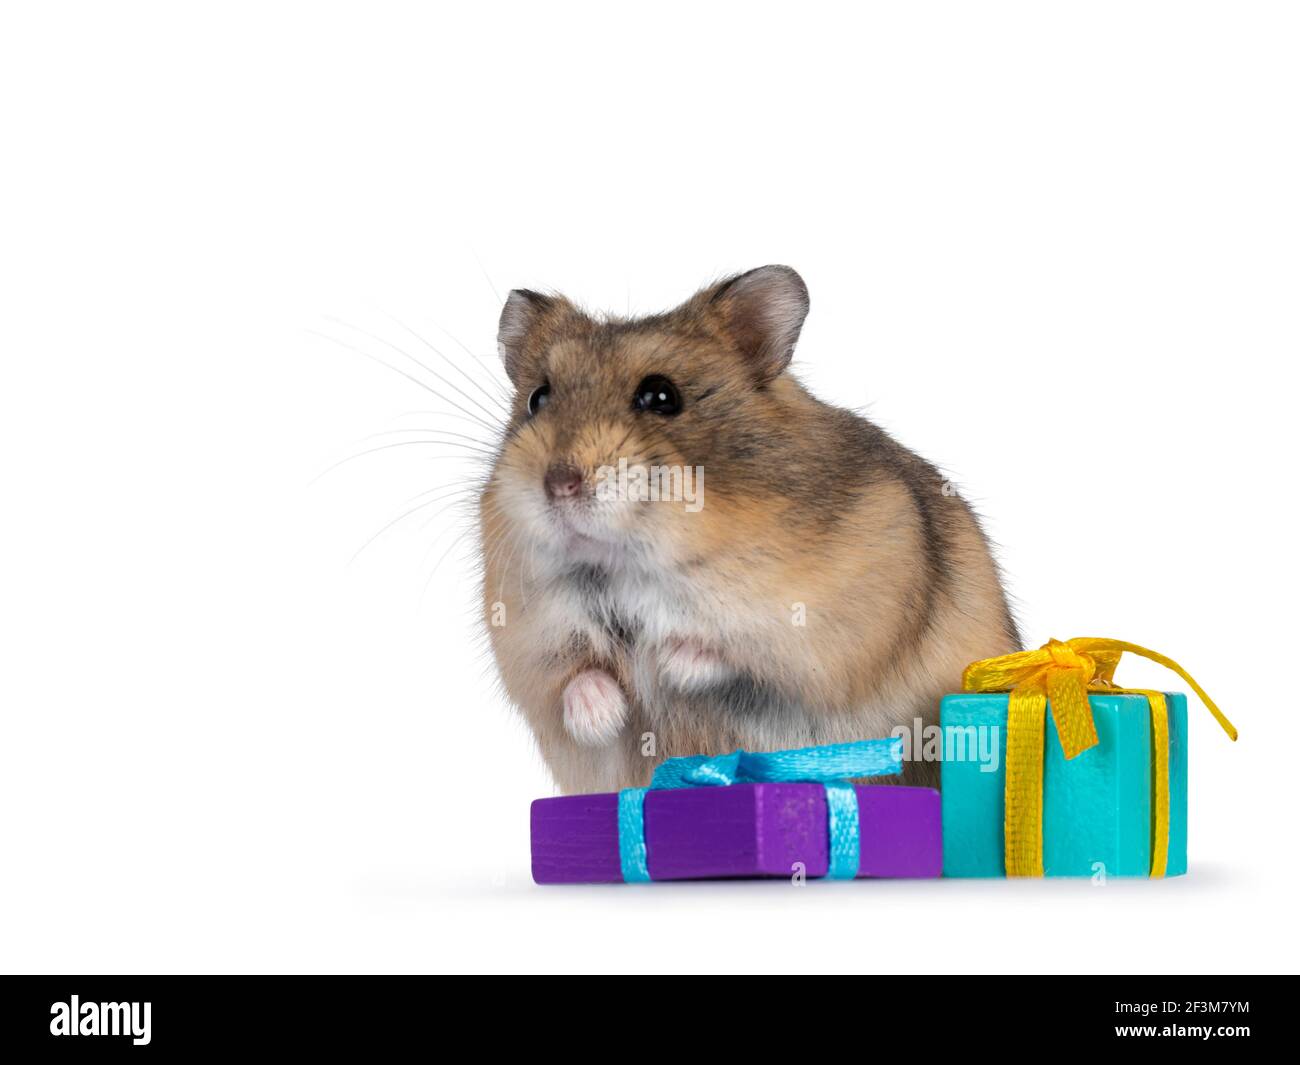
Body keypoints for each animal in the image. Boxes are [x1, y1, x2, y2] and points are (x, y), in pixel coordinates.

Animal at [480, 266, 1018, 793]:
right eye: (538, 398)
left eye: (661, 396)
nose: (559, 484)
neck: (628, 566)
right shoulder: (531, 643)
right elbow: (574, 677)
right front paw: (602, 717)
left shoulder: (827, 622)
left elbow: (735, 648)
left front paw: (669, 663)